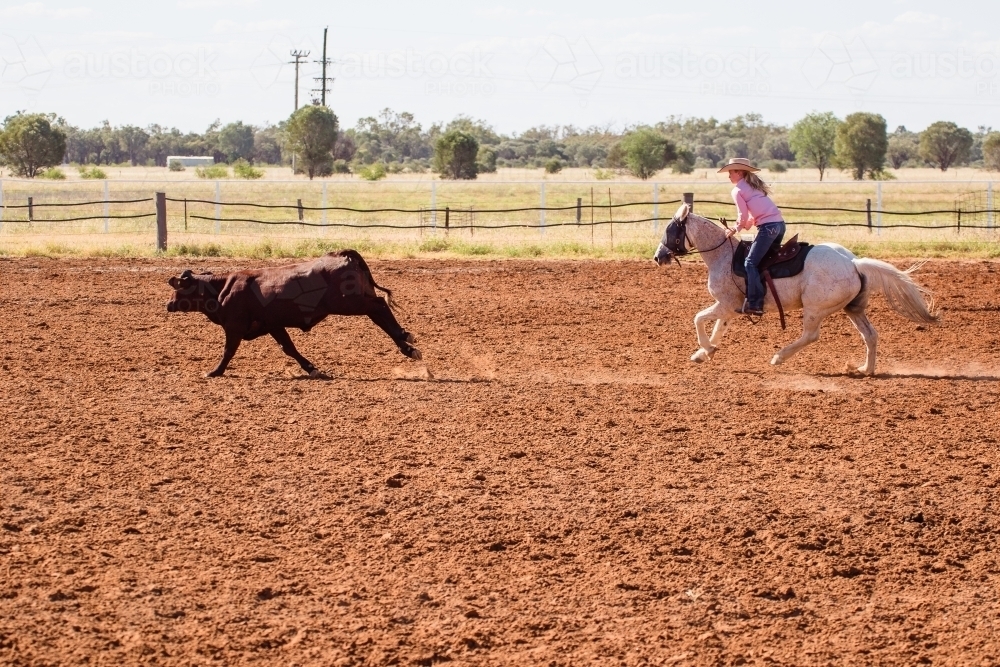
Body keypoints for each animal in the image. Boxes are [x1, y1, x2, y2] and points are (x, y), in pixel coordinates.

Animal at [166, 250, 421, 377]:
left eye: (179, 287)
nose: (168, 304)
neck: (224, 287)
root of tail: (341, 255)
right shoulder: (273, 325)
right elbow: (289, 348)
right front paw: (312, 369)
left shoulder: (234, 326)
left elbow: (228, 351)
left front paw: (215, 372)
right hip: (357, 301)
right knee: (379, 313)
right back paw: (407, 346)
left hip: (350, 303)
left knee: (379, 307)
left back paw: (404, 339)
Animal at [652, 204, 937, 375]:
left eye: (671, 229)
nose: (658, 256)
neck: (724, 255)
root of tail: (854, 263)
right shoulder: (730, 308)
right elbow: (717, 329)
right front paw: (704, 353)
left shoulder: (725, 305)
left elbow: (699, 319)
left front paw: (706, 350)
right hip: (852, 309)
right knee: (870, 335)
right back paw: (865, 369)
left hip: (814, 309)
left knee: (811, 335)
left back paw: (779, 357)